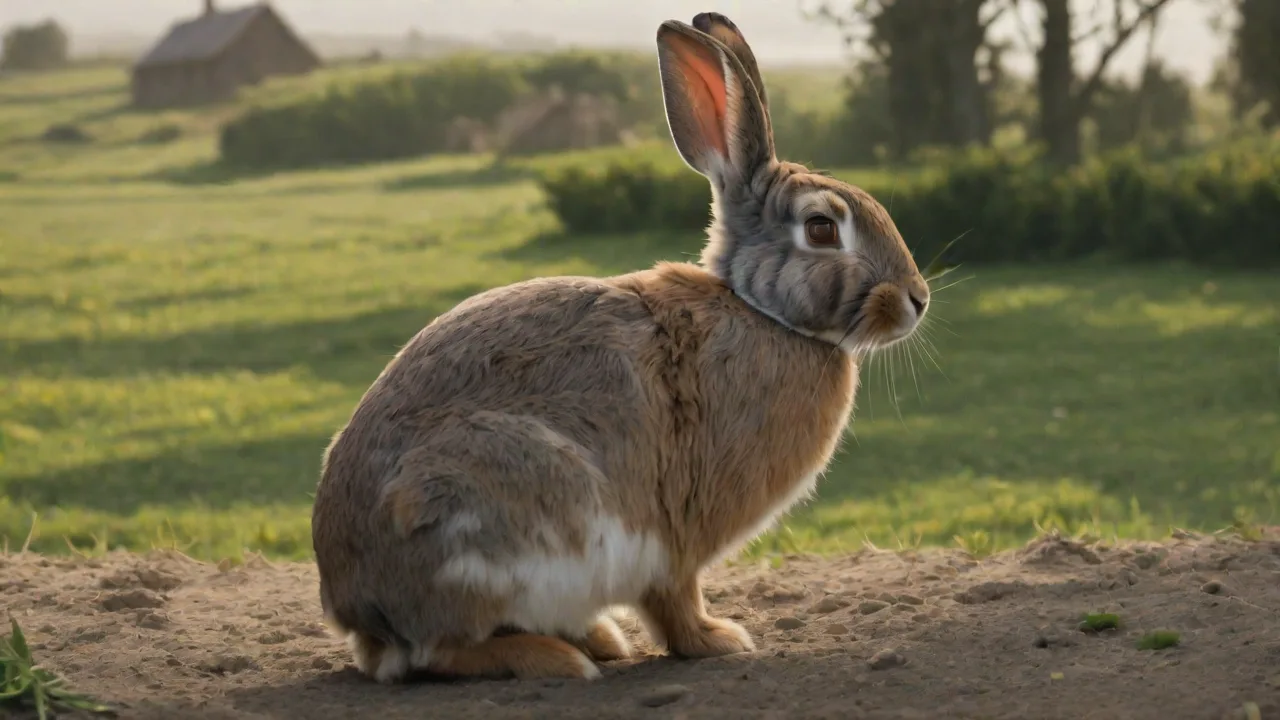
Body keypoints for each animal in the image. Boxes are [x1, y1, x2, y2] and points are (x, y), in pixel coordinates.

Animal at [310, 11, 931, 684]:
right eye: (821, 228)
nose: (917, 299)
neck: (759, 310)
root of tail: (361, 611)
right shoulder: (673, 535)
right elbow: (676, 600)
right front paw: (721, 639)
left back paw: (597, 638)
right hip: (488, 517)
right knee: (442, 650)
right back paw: (561, 658)